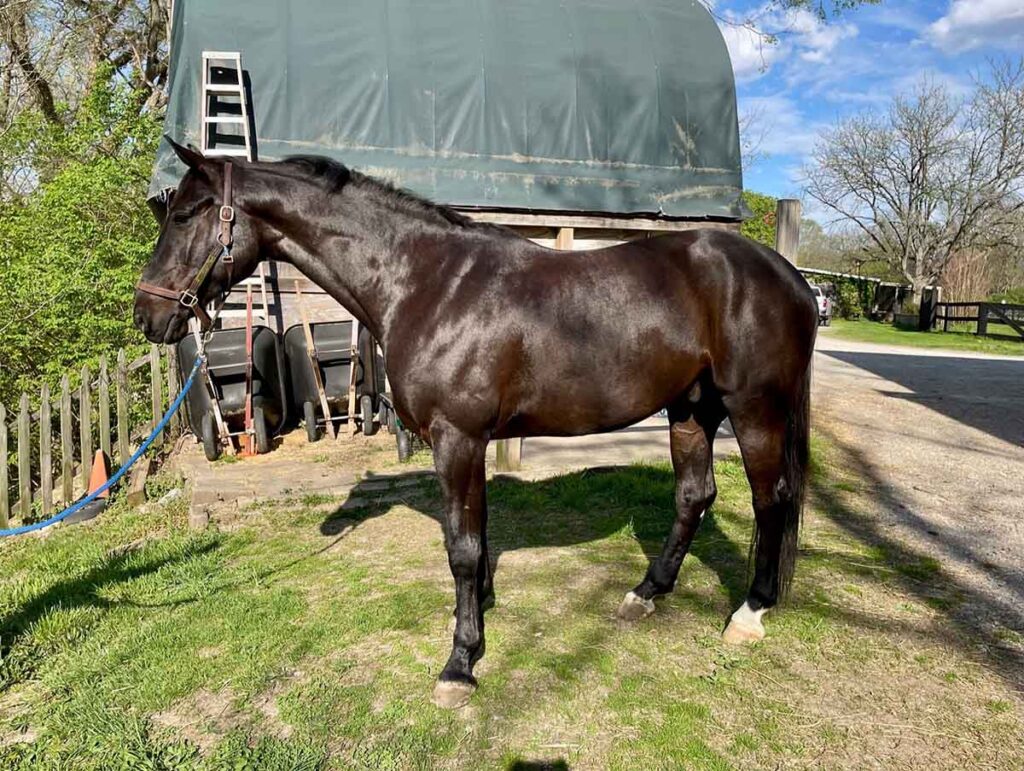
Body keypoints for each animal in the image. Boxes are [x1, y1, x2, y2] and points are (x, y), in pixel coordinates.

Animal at [134, 140, 817, 709]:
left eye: (188, 214)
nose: (148, 314)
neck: (425, 283)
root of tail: (792, 278)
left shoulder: (456, 438)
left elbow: (461, 549)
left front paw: (460, 662)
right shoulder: (469, 442)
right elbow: (478, 537)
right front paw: (481, 616)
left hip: (754, 409)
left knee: (770, 499)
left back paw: (750, 613)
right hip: (691, 408)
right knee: (694, 495)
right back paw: (646, 593)